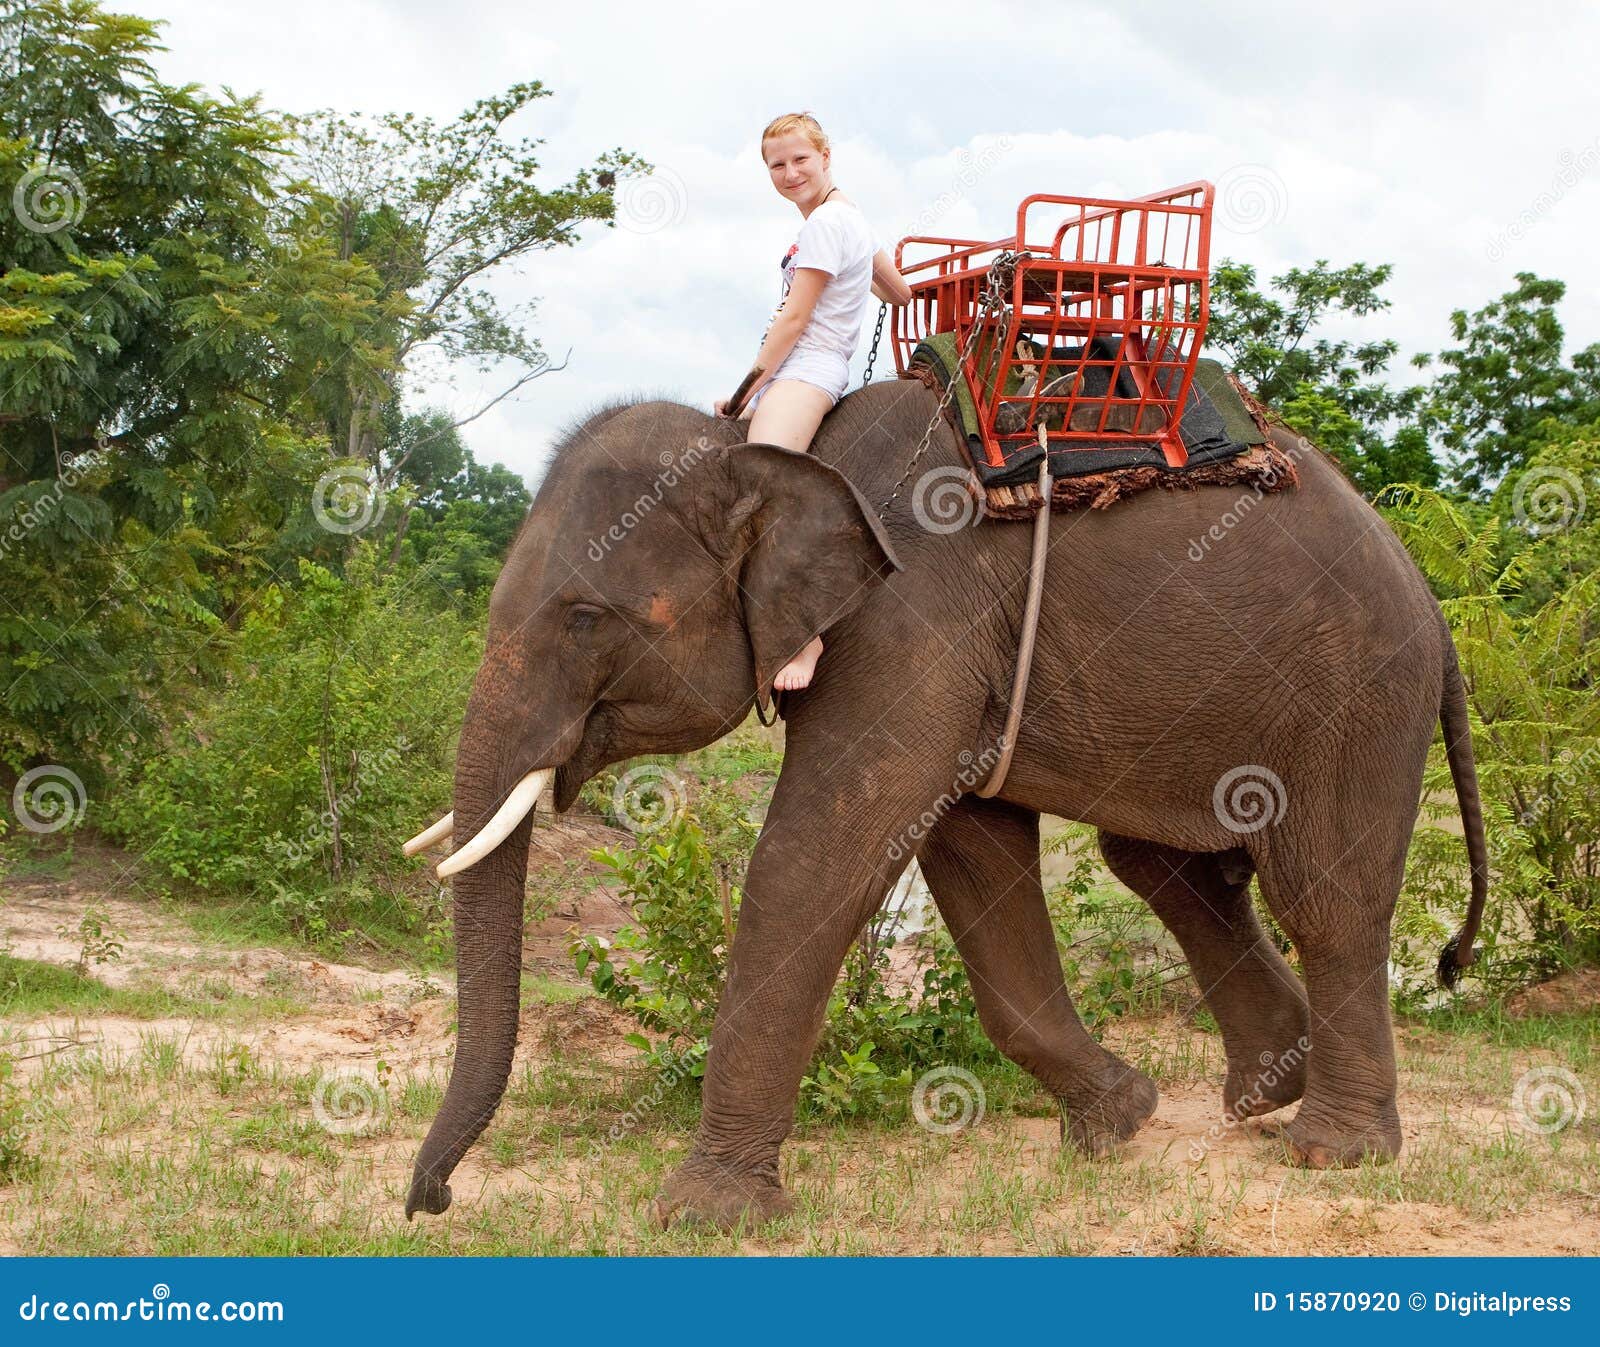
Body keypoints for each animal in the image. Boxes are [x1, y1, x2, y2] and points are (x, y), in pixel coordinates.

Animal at [399, 377, 1487, 1228]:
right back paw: (1267, 1089)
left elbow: (821, 853)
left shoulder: (913, 610)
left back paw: (1331, 1151)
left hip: (1357, 699)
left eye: (584, 617)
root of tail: (1436, 608)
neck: (762, 444)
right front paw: (1117, 1122)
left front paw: (701, 1216)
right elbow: (971, 853)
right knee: (1168, 869)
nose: (430, 1202)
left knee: (1324, 897)